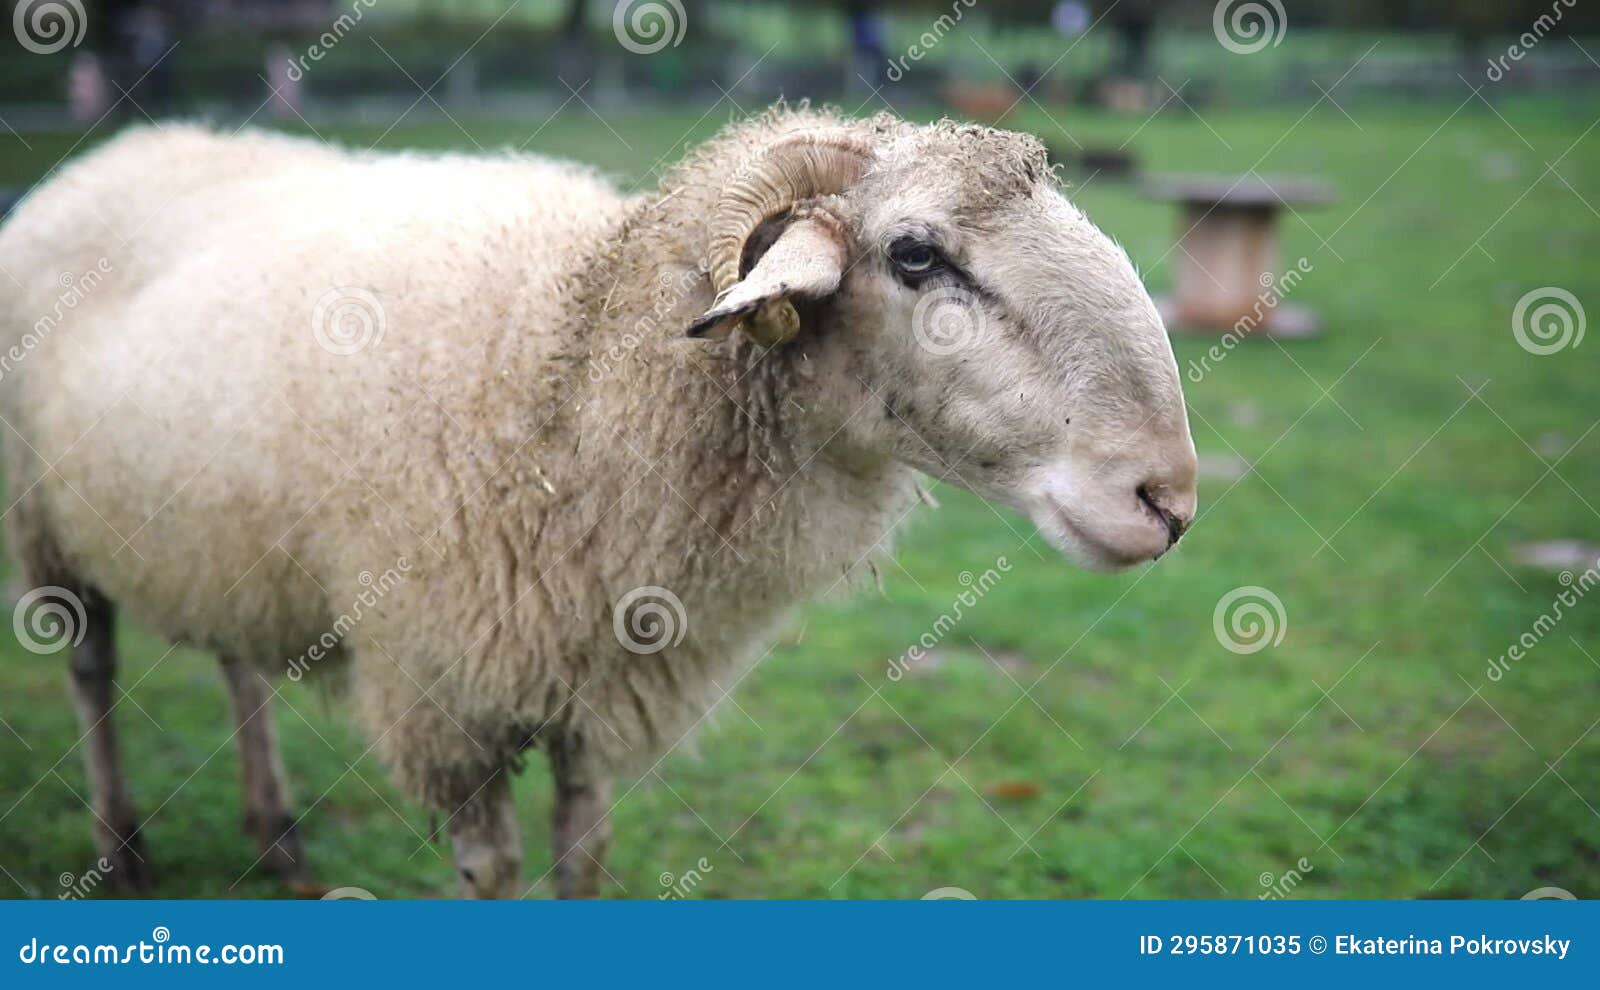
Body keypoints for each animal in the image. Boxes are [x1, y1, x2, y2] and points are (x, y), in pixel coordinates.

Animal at [0, 104, 1197, 899]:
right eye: (914, 255)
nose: (1168, 497)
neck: (574, 385)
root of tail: (127, 147)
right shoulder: (444, 693)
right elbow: (493, 872)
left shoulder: (595, 677)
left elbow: (585, 862)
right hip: (45, 521)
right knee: (91, 667)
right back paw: (120, 848)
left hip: (221, 532)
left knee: (237, 657)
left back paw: (276, 834)